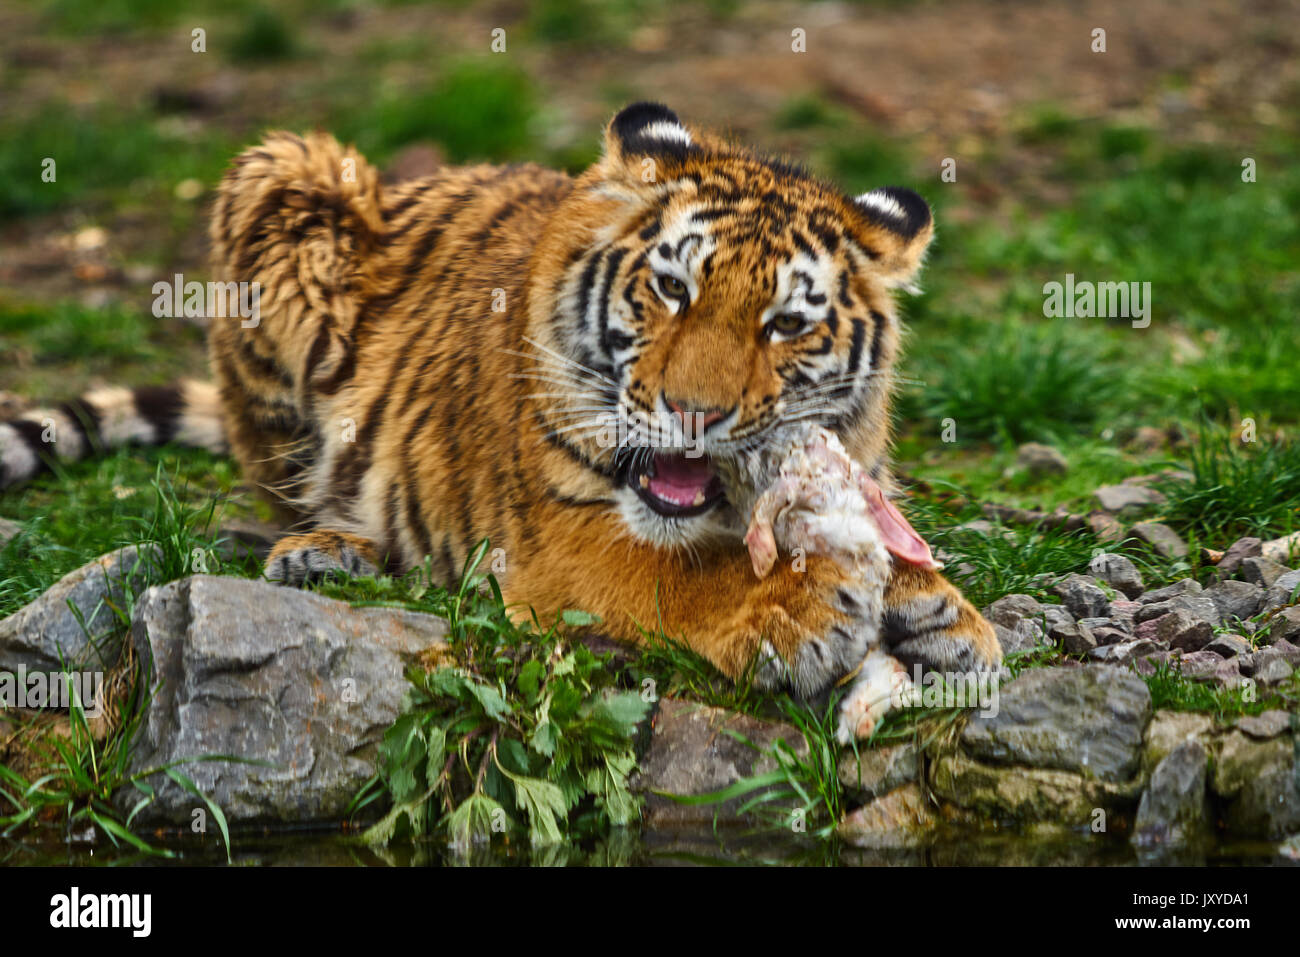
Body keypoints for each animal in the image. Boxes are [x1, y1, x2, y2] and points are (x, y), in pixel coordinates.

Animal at [0, 103, 1001, 738]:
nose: (695, 414)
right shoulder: (562, 540)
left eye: (786, 324)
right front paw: (796, 608)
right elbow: (677, 578)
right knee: (288, 499)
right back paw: (329, 550)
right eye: (673, 288)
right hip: (286, 174)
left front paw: (947, 617)